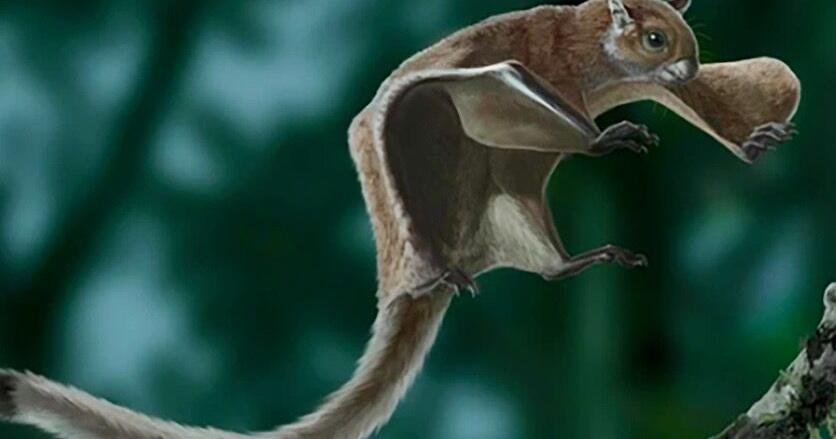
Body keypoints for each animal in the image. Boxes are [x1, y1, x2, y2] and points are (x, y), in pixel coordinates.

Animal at [0, 1, 800, 438]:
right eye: (656, 38)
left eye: (685, 42)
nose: (686, 67)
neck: (595, 62)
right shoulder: (529, 72)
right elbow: (525, 93)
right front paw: (606, 138)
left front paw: (754, 138)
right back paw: (450, 267)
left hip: (513, 208)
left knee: (546, 258)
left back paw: (583, 256)